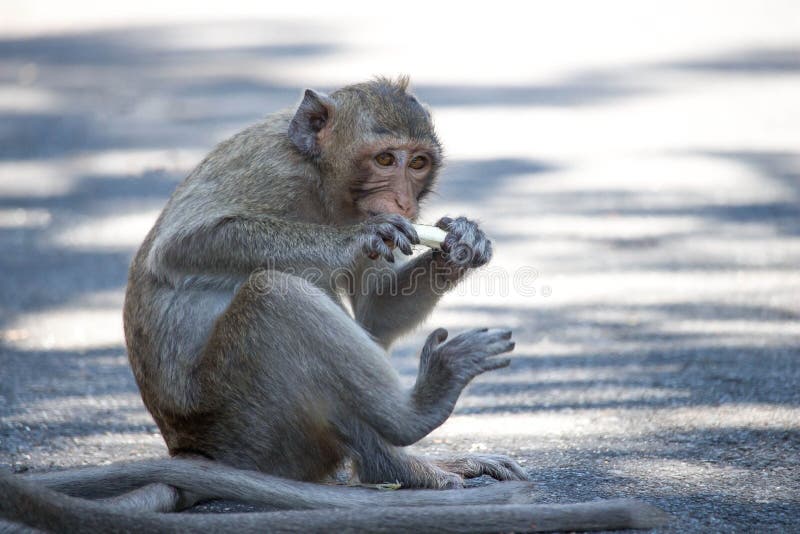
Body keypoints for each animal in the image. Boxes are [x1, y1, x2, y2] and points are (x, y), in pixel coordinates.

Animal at [0, 77, 668, 532]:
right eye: (384, 159)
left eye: (418, 162)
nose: (402, 198)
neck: (320, 181)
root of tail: (192, 451)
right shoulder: (269, 169)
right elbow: (185, 243)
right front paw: (353, 240)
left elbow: (375, 311)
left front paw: (464, 244)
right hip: (253, 427)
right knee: (276, 293)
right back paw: (415, 419)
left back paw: (409, 461)